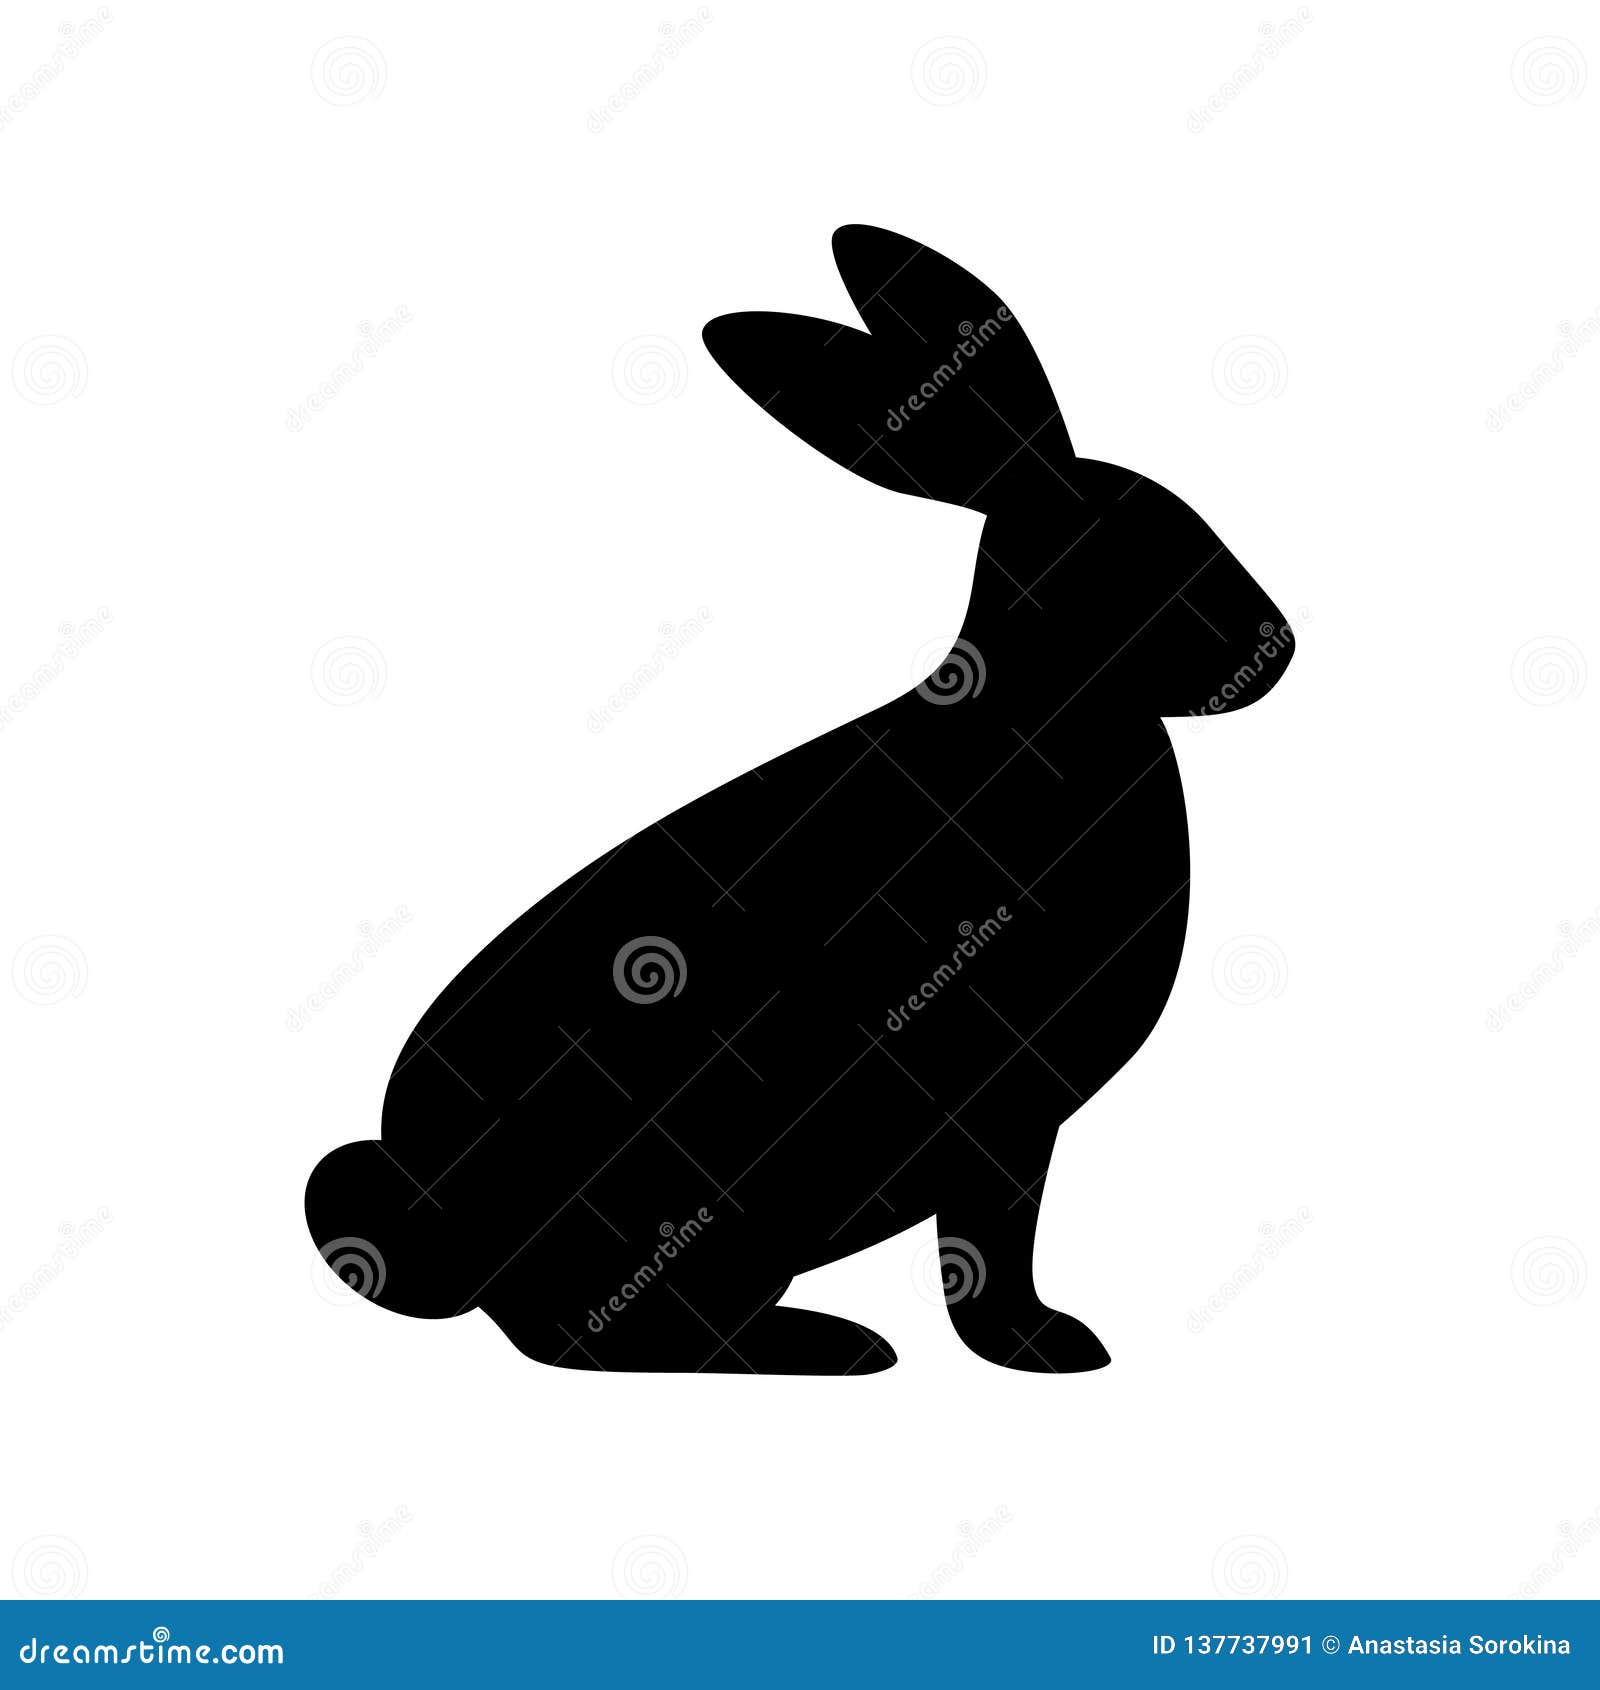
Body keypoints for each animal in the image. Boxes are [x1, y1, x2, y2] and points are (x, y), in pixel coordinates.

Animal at [305, 226, 1293, 1375]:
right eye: (1138, 554)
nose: (1276, 649)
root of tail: (438, 1232)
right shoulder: (1001, 1118)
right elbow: (987, 1247)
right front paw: (1040, 1347)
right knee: (585, 1335)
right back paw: (827, 1345)